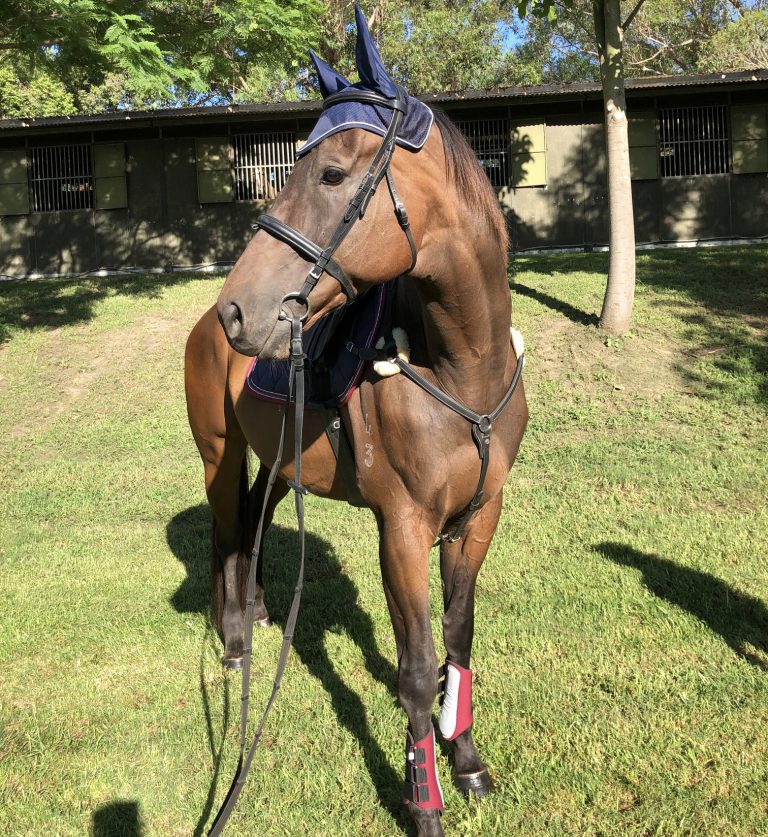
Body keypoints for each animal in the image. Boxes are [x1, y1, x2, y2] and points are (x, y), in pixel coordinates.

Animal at [184, 9, 527, 836]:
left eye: (333, 175)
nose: (239, 310)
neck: (461, 368)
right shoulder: (400, 526)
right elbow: (415, 669)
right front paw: (424, 801)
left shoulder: (480, 514)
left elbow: (458, 640)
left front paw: (468, 763)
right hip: (219, 453)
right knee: (223, 531)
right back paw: (234, 641)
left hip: (277, 464)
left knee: (251, 522)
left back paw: (261, 614)